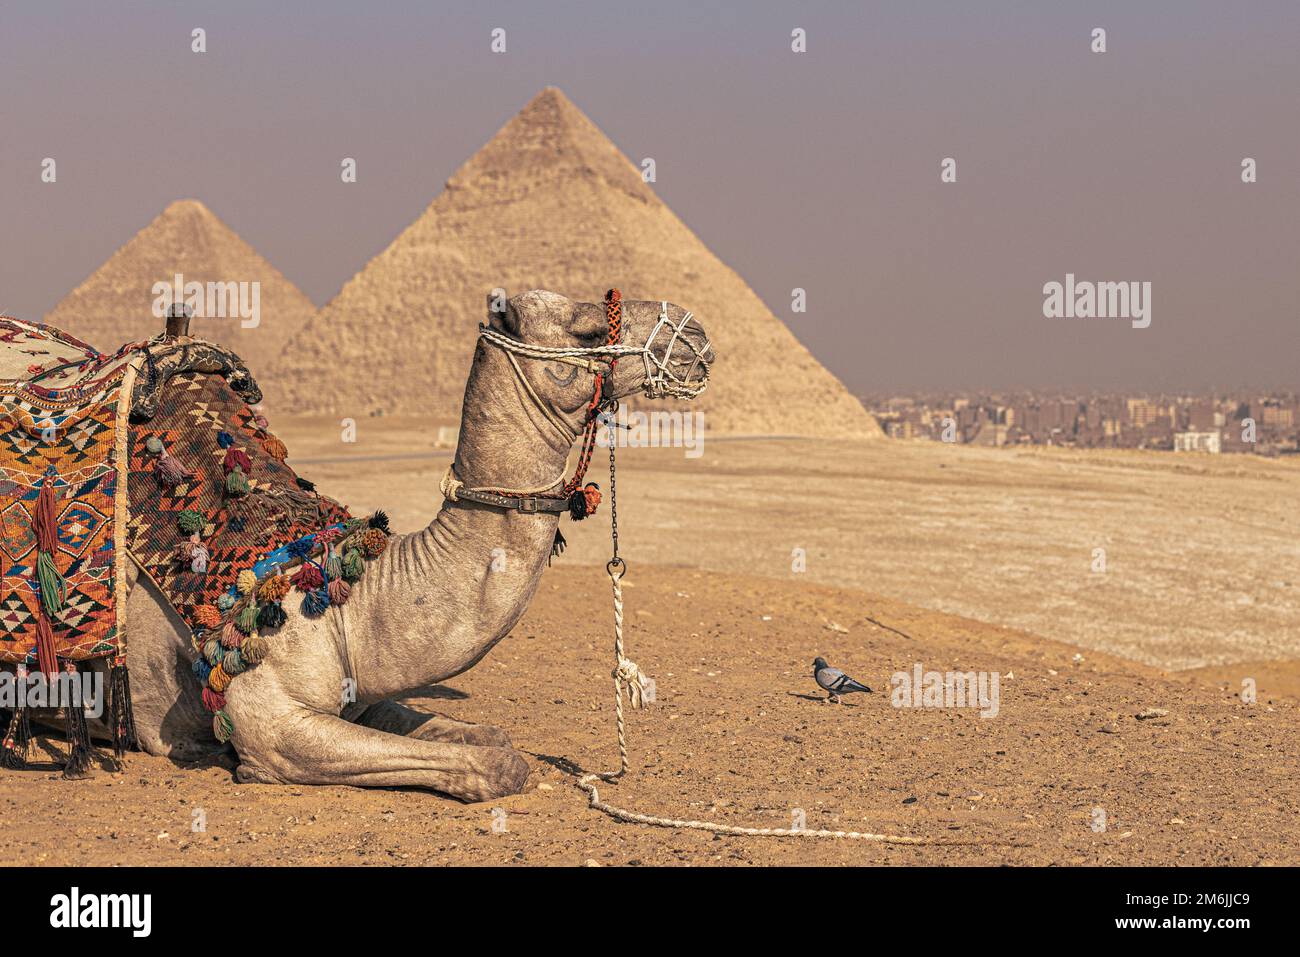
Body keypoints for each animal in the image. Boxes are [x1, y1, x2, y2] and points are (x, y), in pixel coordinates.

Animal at [5, 290, 713, 801]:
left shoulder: (365, 688)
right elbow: (493, 765)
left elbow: (486, 737)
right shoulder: (271, 726)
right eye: (589, 327)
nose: (696, 338)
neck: (337, 593)